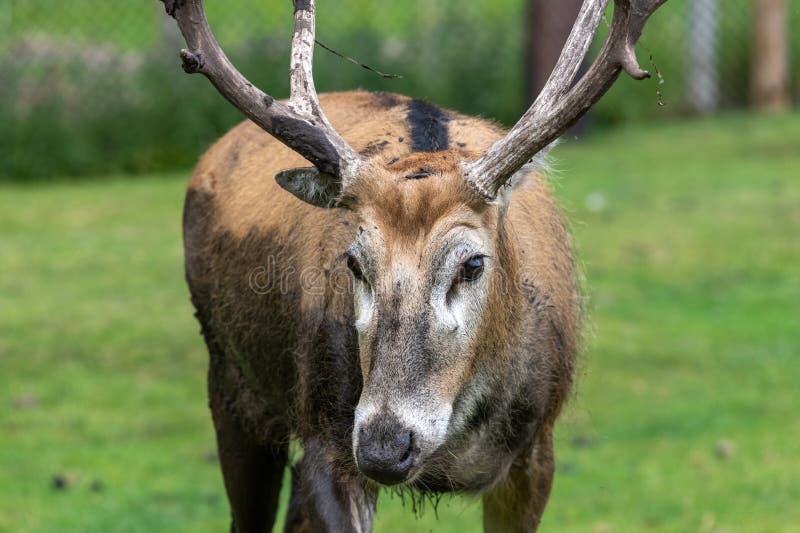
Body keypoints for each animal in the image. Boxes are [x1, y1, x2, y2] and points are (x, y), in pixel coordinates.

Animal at [161, 0, 665, 530]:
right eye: (354, 262)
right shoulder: (328, 437)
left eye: (472, 263)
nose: (386, 447)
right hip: (230, 374)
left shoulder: (535, 449)